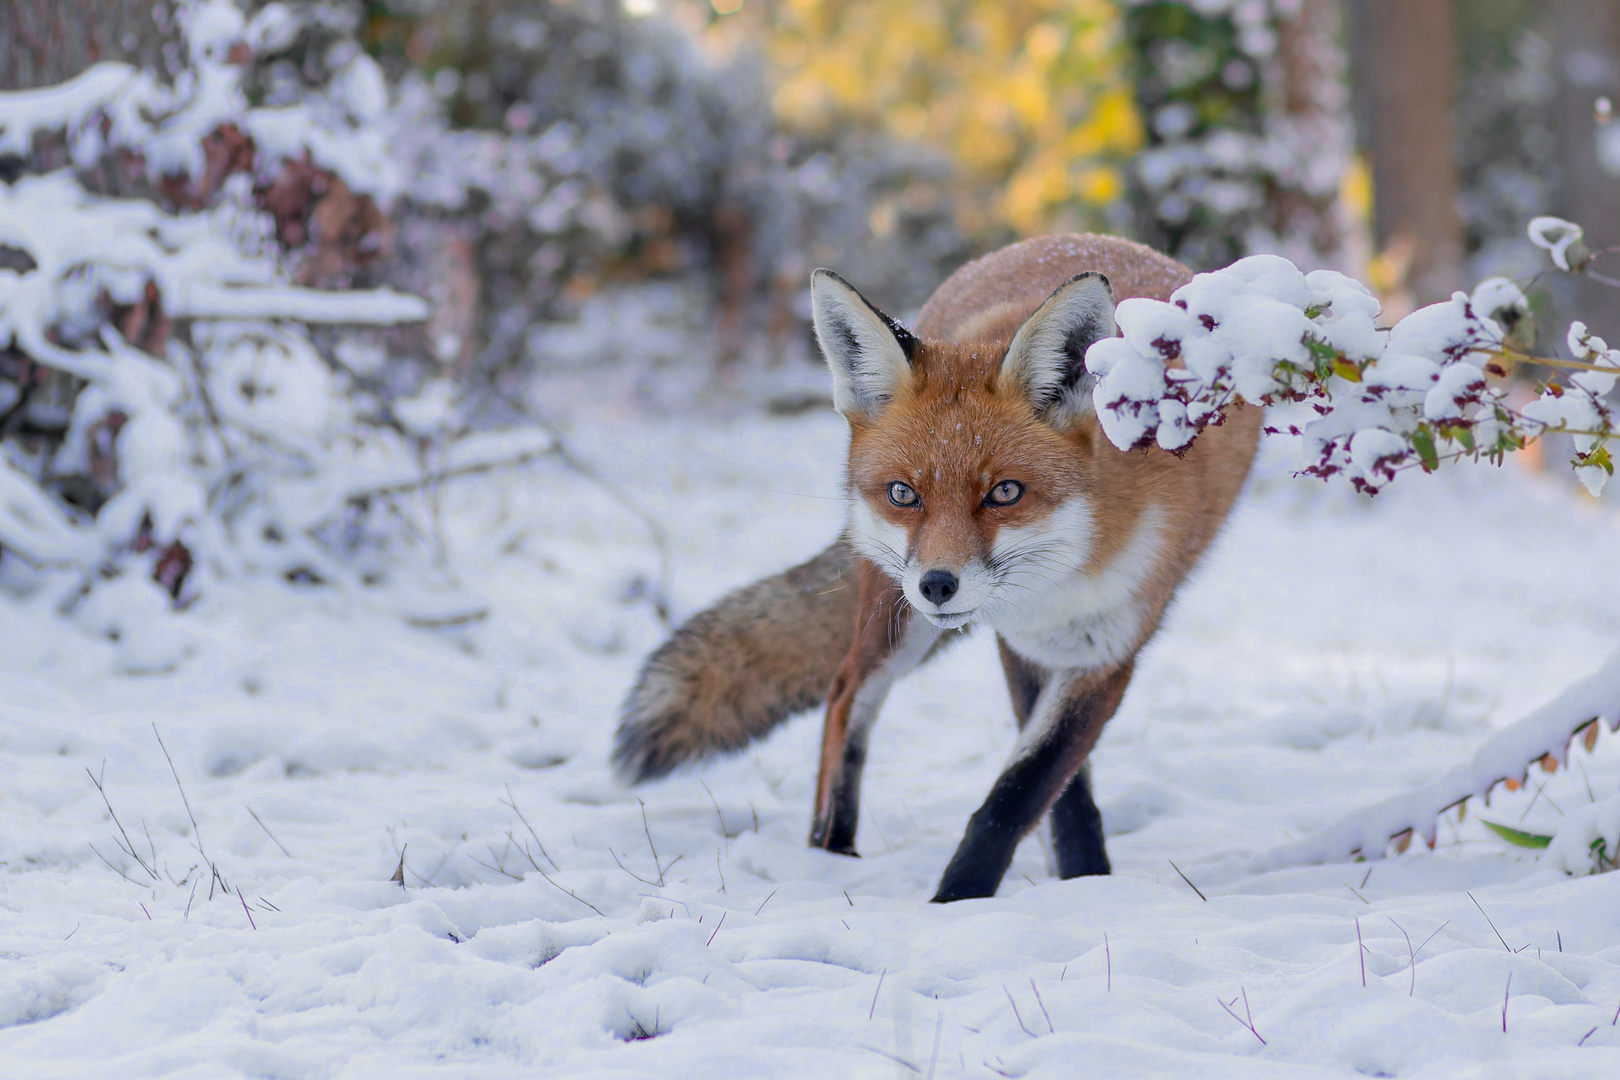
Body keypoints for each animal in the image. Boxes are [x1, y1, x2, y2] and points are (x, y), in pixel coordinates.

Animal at [614, 234, 1262, 901]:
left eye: (1005, 493)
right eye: (904, 494)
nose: (937, 586)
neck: (1068, 572)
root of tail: (1077, 239)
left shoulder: (1103, 649)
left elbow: (1027, 790)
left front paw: (1057, 883)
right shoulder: (1025, 645)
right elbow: (1043, 788)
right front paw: (970, 900)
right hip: (893, 616)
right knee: (845, 695)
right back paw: (831, 852)